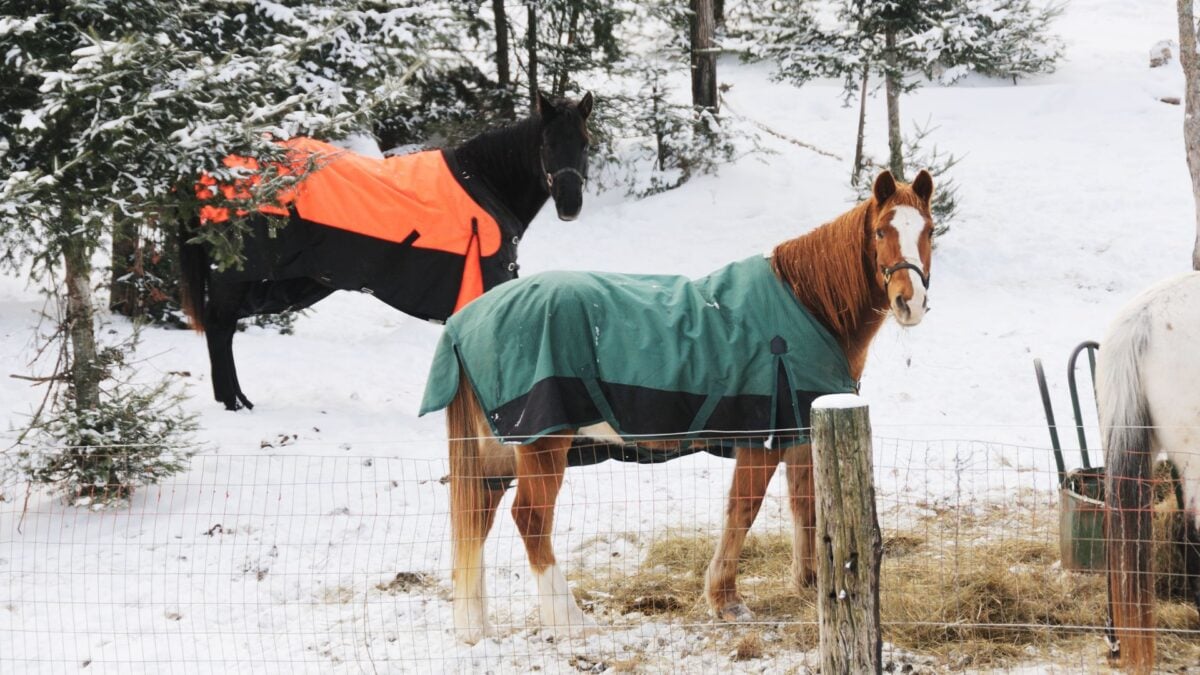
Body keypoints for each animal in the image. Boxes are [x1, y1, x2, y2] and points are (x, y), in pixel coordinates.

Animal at [179, 92, 594, 410]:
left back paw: (238, 399)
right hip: (237, 276)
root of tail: (217, 170)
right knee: (219, 327)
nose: (570, 205)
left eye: (585, 143)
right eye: (547, 144)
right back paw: (232, 403)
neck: (486, 185)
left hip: (283, 284)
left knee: (228, 327)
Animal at [419, 169, 936, 642]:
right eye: (881, 231)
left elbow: (806, 506)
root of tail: (467, 319)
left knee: (479, 515)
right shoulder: (759, 440)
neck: (808, 307)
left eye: (928, 229)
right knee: (530, 520)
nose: (909, 303)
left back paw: (475, 626)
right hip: (543, 444)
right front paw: (726, 600)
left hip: (498, 450)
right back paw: (567, 620)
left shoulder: (800, 434)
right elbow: (742, 510)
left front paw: (809, 584)